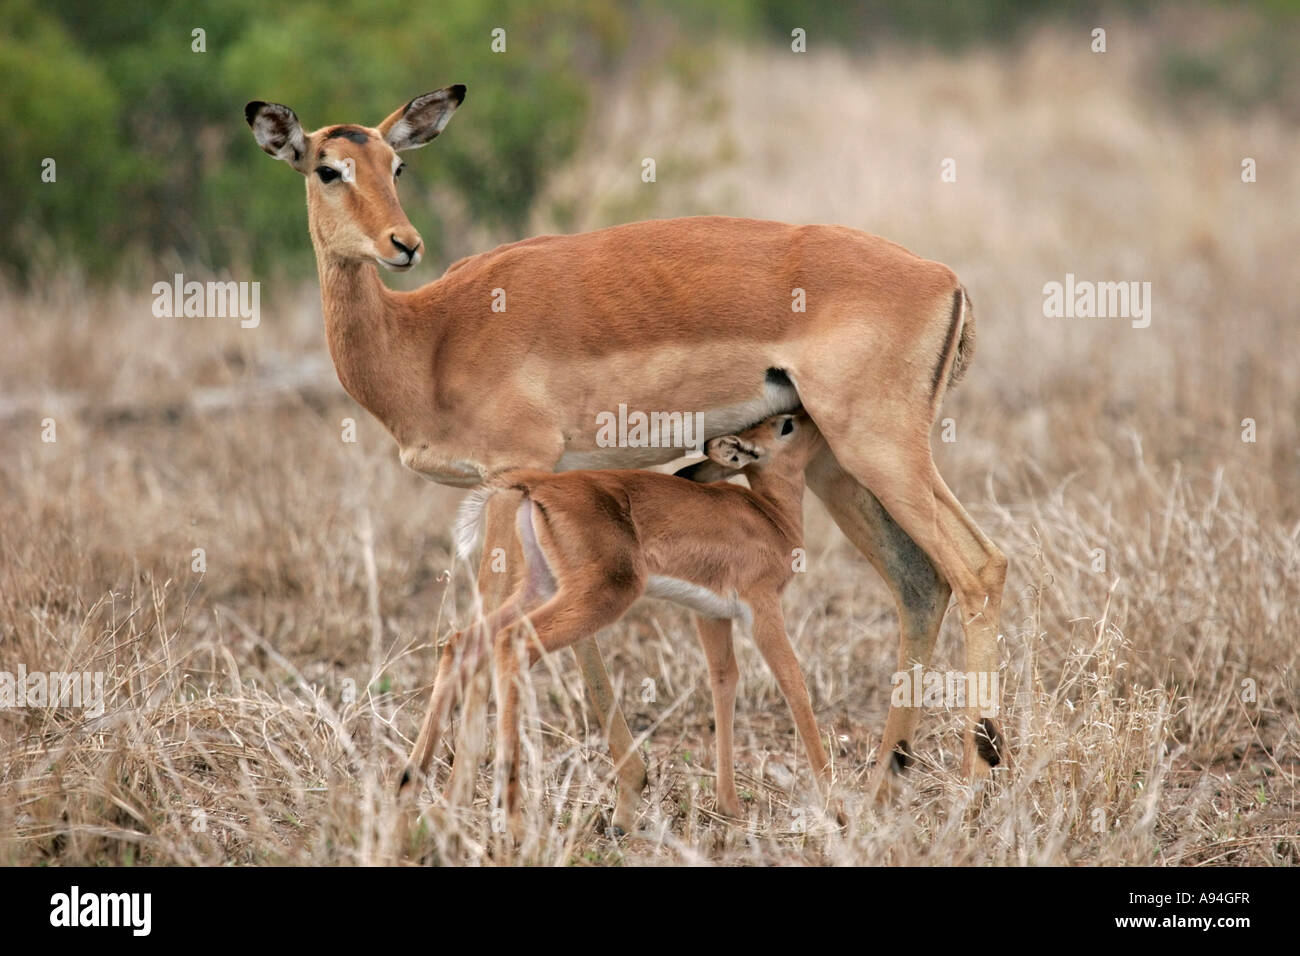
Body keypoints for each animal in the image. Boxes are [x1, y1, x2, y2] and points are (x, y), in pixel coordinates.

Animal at [411, 411, 831, 832]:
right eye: (786, 424)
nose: (812, 418)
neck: (772, 517)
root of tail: (540, 484)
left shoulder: (712, 615)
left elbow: (724, 684)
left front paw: (729, 808)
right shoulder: (762, 608)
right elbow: (794, 684)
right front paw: (835, 802)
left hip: (540, 588)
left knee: (463, 641)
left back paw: (412, 788)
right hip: (602, 595)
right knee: (514, 643)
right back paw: (513, 820)